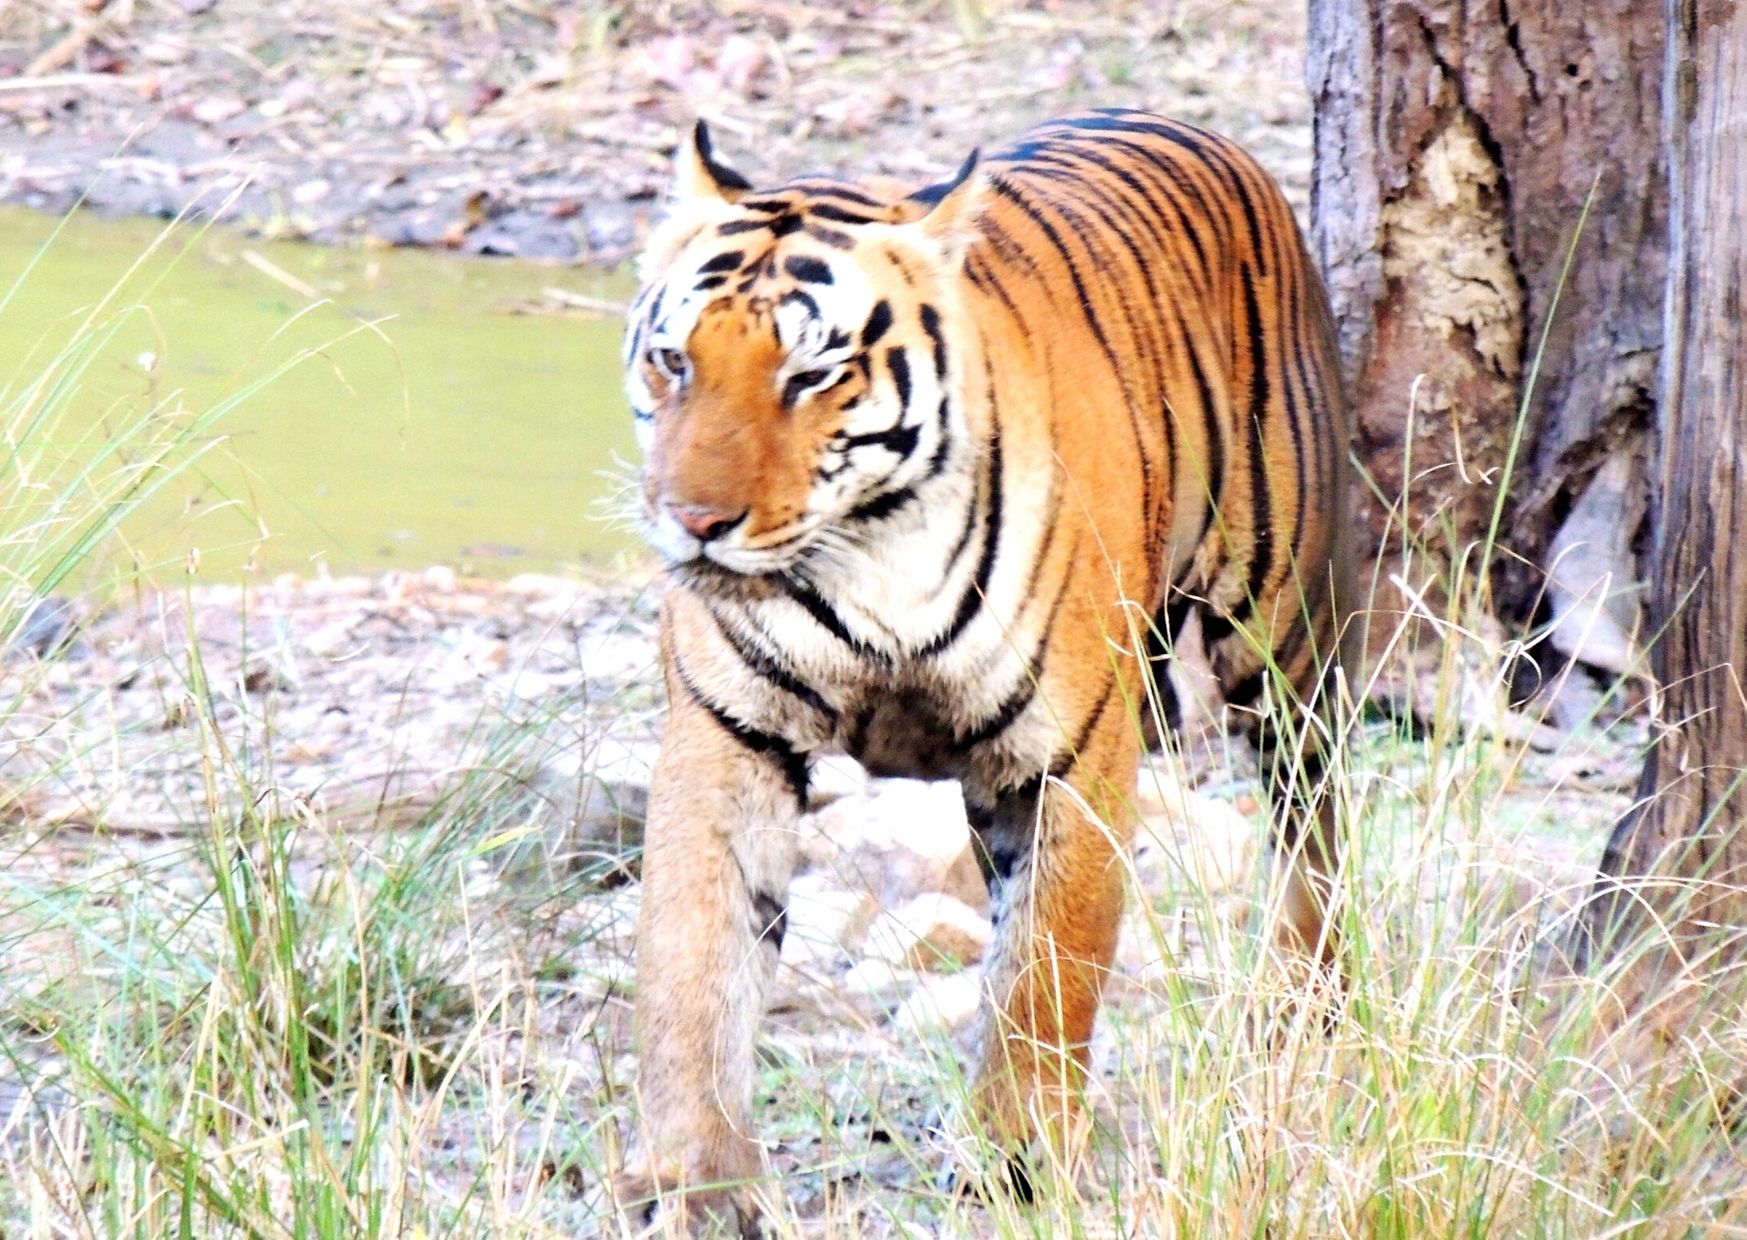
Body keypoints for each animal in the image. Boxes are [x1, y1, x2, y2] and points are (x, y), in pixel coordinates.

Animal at [614, 108, 1351, 1231]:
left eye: (810, 374)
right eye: (672, 361)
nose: (693, 522)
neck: (865, 550)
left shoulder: (1072, 757)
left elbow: (1050, 970)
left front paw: (1021, 1159)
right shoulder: (730, 737)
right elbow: (694, 963)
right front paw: (694, 1181)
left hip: (1276, 633)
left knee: (1310, 813)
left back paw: (1309, 1001)